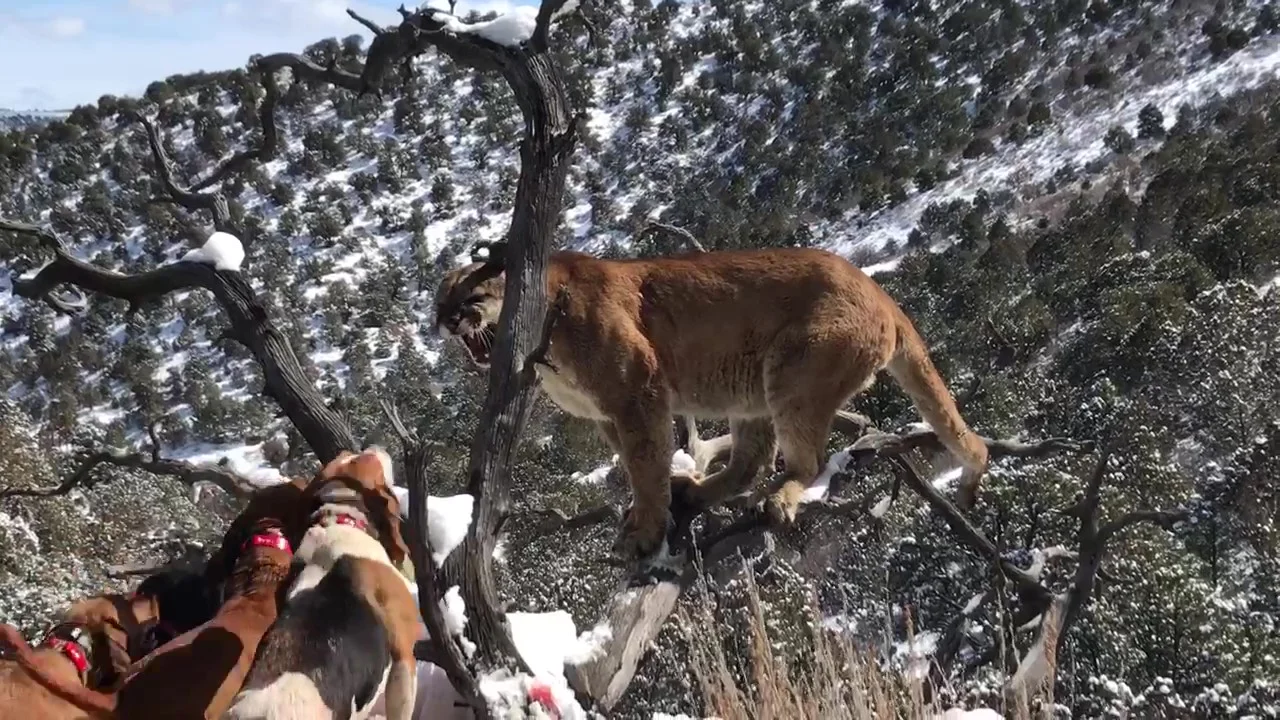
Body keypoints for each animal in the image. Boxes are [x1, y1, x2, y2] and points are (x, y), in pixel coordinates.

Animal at [433, 244, 988, 562]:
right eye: (439, 301)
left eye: (472, 296)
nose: (447, 320)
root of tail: (879, 291)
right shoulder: (609, 414)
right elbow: (636, 463)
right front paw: (648, 510)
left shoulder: (637, 389)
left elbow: (645, 463)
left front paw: (644, 531)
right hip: (752, 394)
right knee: (749, 462)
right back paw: (697, 492)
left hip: (794, 374)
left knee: (805, 460)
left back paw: (780, 498)